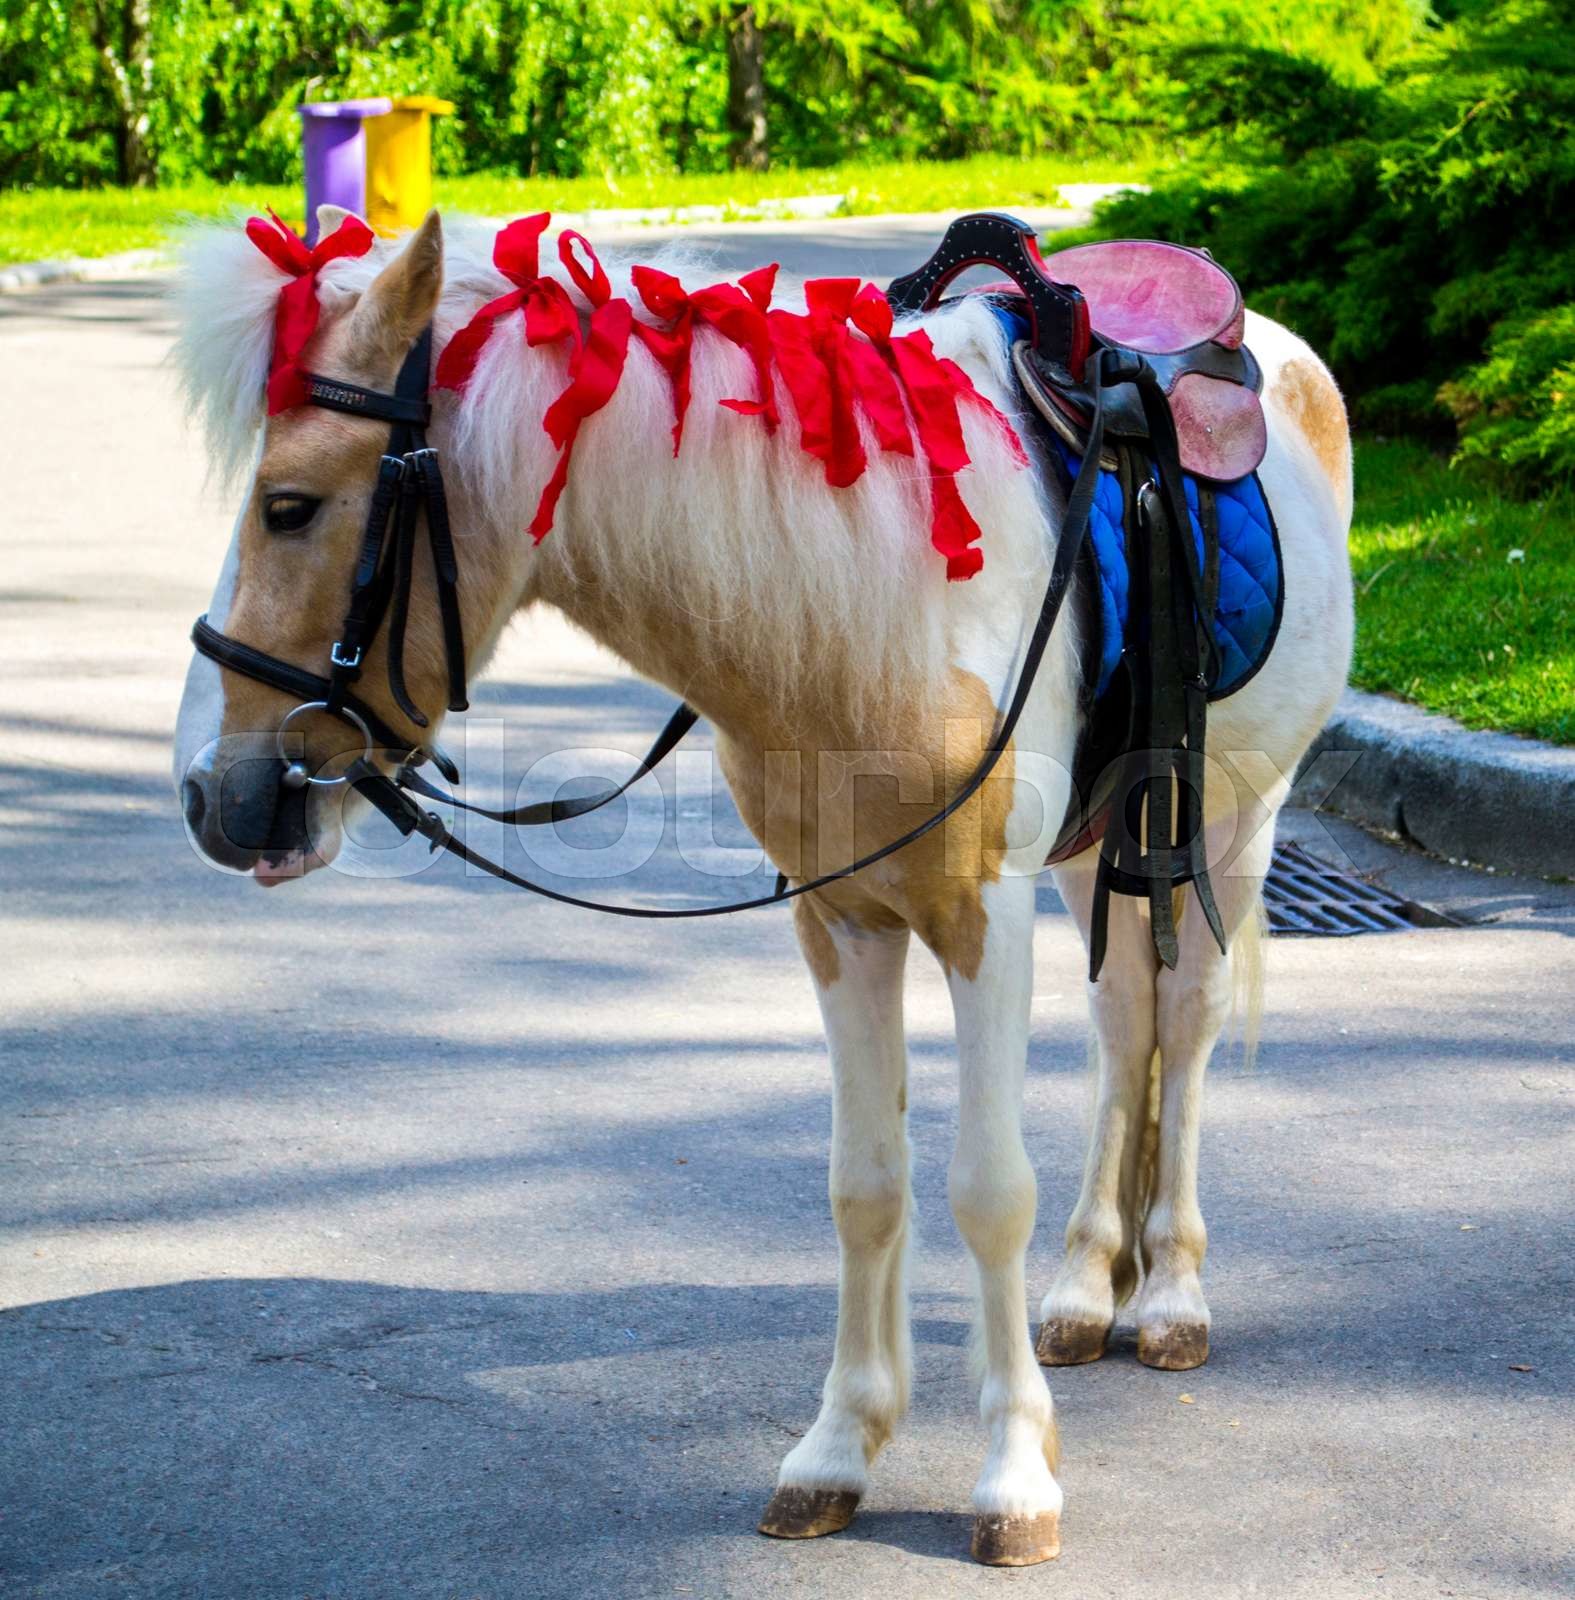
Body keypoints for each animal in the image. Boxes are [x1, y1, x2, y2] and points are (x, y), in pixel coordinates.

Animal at [171, 207, 1353, 1567]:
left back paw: (1169, 1294)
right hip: (1095, 850)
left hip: (1236, 822)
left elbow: (986, 1189)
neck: (875, 599)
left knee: (1188, 1022)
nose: (212, 793)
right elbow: (866, 1186)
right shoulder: (839, 918)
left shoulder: (981, 918)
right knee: (1126, 1027)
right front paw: (838, 1450)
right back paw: (1083, 1283)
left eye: (290, 506)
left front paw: (1013, 1478)